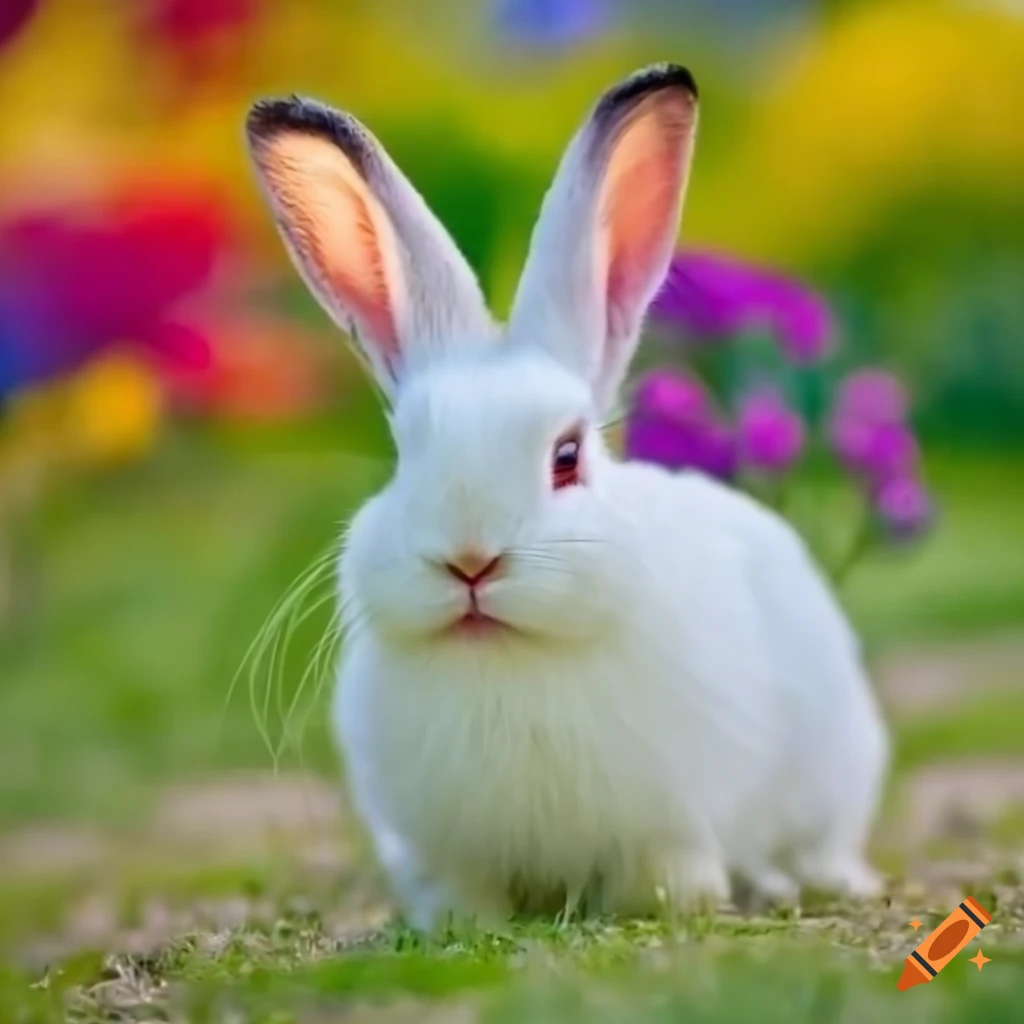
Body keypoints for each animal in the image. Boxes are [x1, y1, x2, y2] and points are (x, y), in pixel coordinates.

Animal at [245, 63, 890, 930]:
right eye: (407, 455)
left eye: (566, 457)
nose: (470, 562)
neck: (509, 652)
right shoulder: (449, 851)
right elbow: (465, 895)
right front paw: (460, 924)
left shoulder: (671, 822)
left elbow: (666, 875)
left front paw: (673, 904)